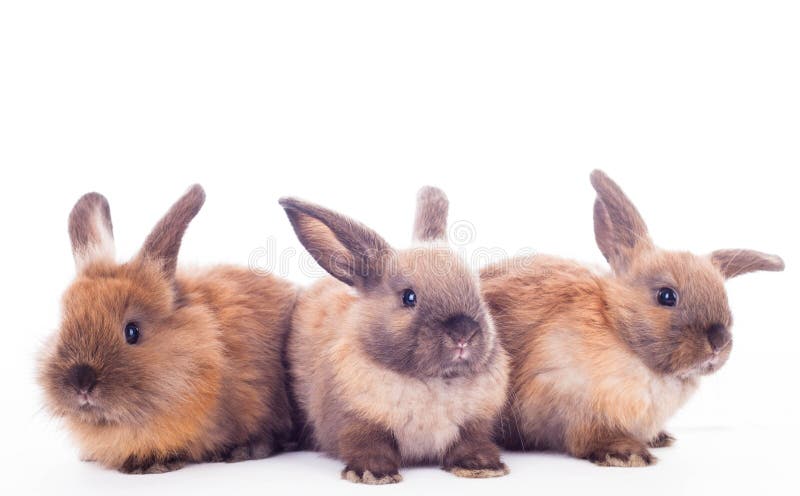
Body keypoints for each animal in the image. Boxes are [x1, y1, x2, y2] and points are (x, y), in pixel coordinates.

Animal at [281, 187, 510, 485]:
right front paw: (372, 473)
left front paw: (482, 466)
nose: (464, 333)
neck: (432, 382)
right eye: (409, 297)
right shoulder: (357, 422)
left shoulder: (473, 425)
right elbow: (368, 445)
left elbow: (470, 443)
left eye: (478, 293)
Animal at [482, 170, 784, 467]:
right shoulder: (566, 401)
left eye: (725, 298)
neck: (619, 331)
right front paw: (627, 453)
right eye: (666, 296)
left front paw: (659, 438)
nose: (718, 342)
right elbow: (587, 437)